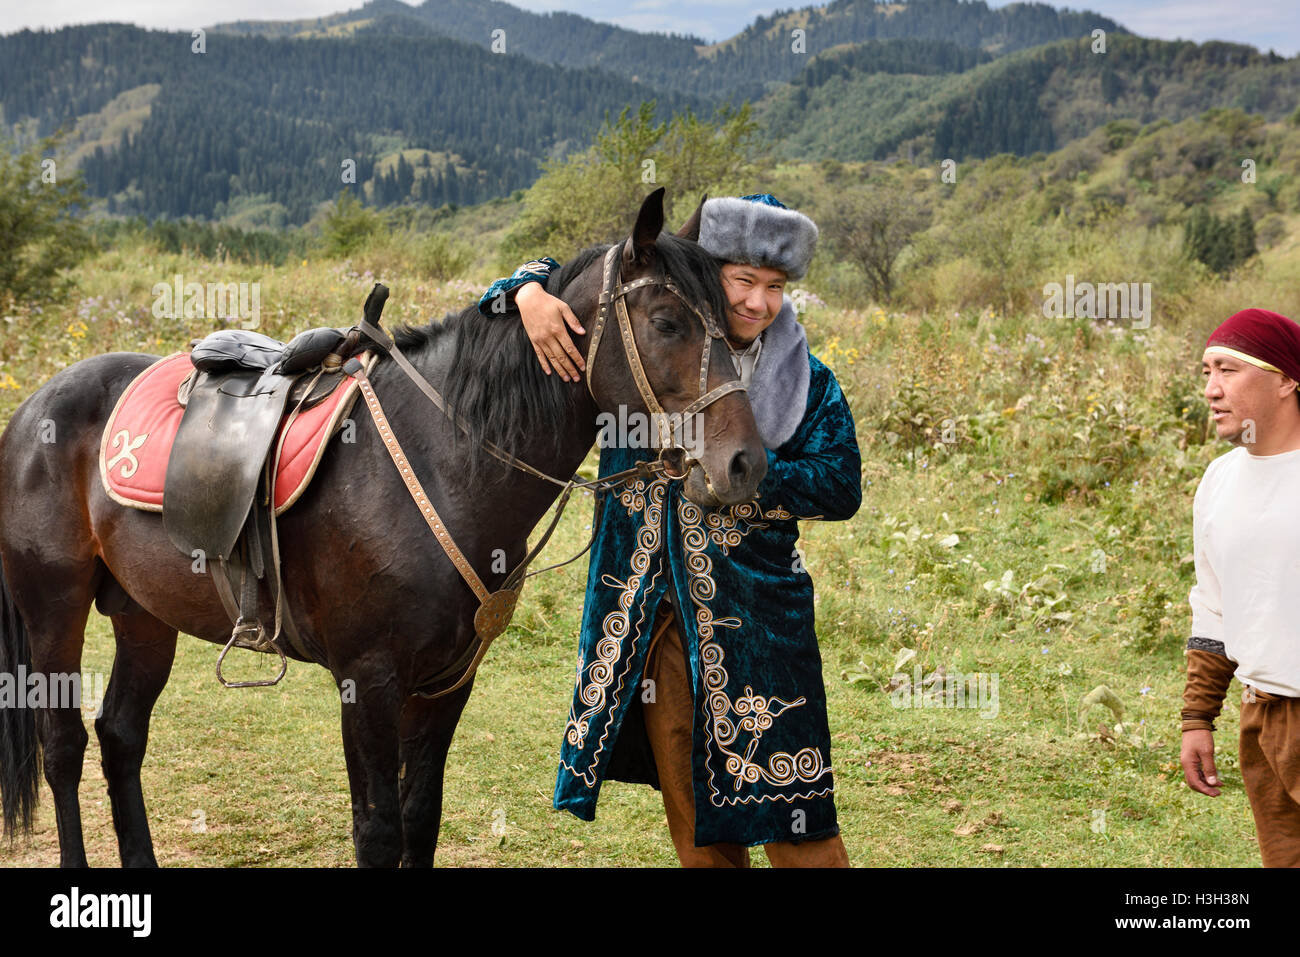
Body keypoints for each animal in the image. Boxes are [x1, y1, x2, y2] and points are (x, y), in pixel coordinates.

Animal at [0, 188, 767, 867]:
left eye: (733, 326)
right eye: (667, 323)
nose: (745, 463)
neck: (446, 460)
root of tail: (38, 402)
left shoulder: (446, 684)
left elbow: (419, 818)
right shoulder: (367, 683)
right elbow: (377, 833)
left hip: (145, 613)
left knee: (121, 735)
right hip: (55, 608)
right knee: (62, 747)